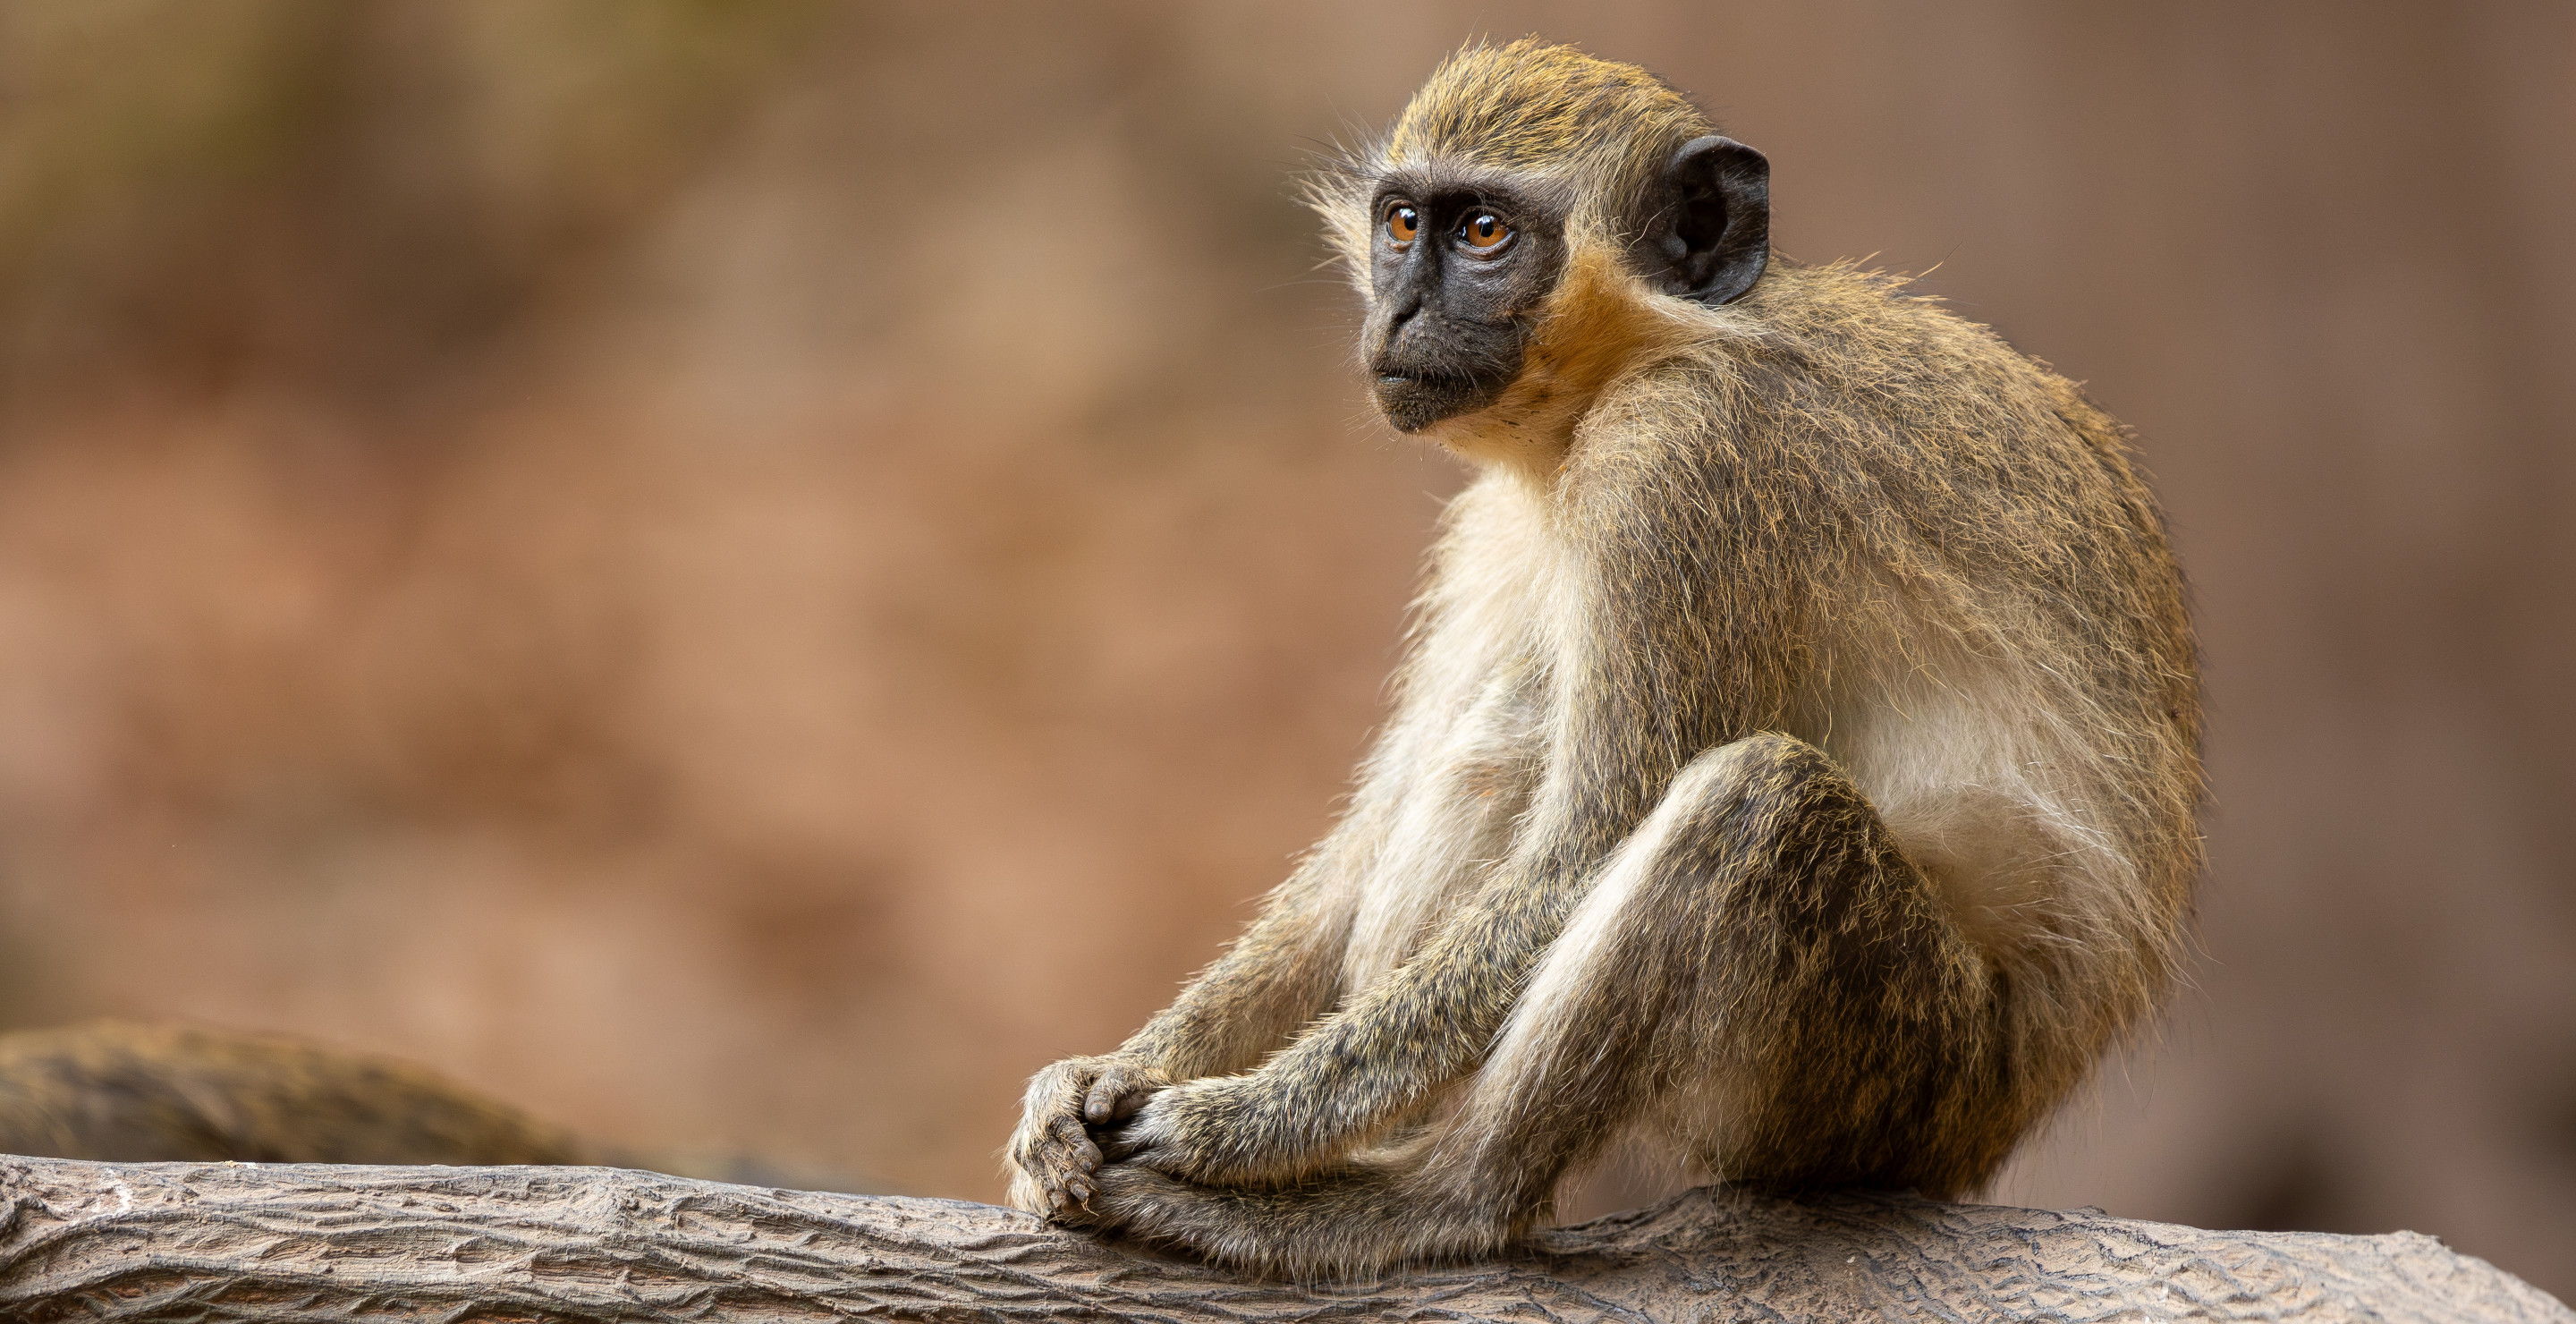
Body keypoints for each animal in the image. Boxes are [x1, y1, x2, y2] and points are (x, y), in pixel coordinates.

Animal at [1004, 38, 2202, 1280]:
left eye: (1484, 232)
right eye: (1402, 223)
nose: (1399, 312)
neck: (1636, 363)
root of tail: (2001, 1117)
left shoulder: (1679, 460)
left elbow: (1584, 849)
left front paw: (1232, 1122)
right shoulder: (1493, 522)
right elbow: (1358, 857)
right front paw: (1111, 1071)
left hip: (1903, 1072)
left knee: (1754, 801)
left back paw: (1436, 1196)